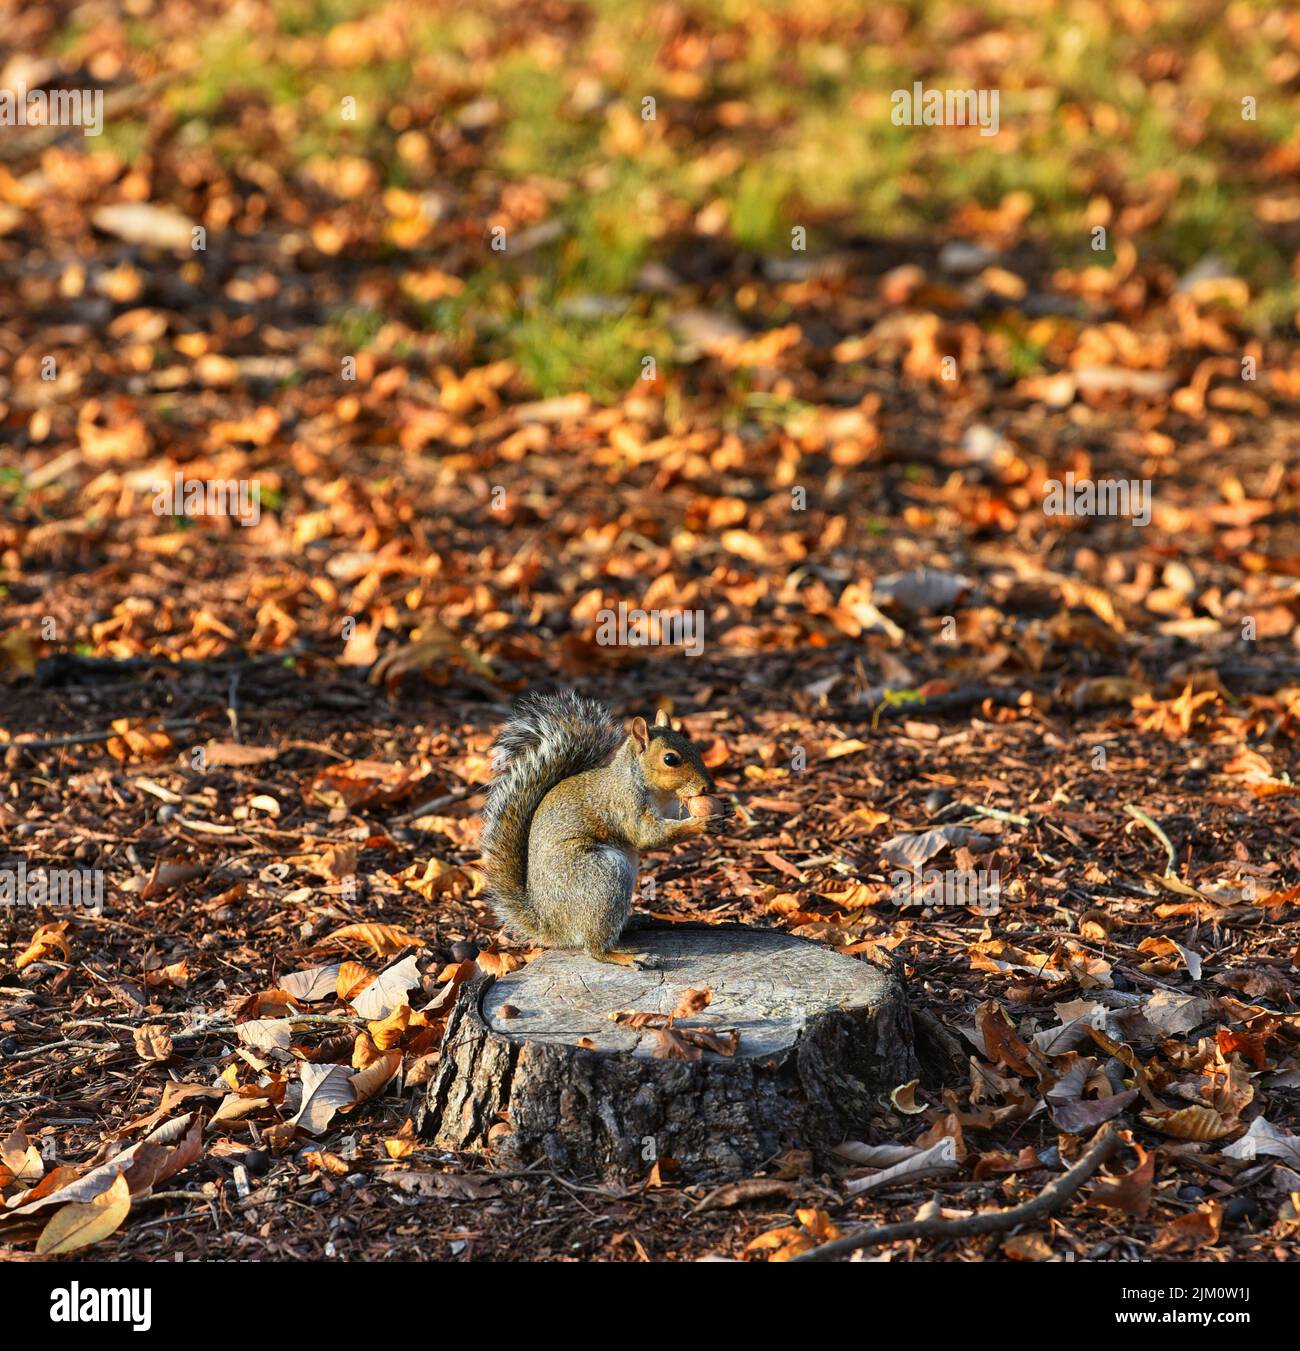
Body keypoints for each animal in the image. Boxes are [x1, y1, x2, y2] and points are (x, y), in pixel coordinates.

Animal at [480, 688, 728, 965]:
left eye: (695, 747)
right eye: (670, 759)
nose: (708, 786)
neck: (657, 792)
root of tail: (552, 927)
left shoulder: (669, 808)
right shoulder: (625, 804)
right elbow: (646, 836)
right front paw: (701, 823)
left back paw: (634, 922)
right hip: (602, 878)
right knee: (594, 948)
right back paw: (628, 957)